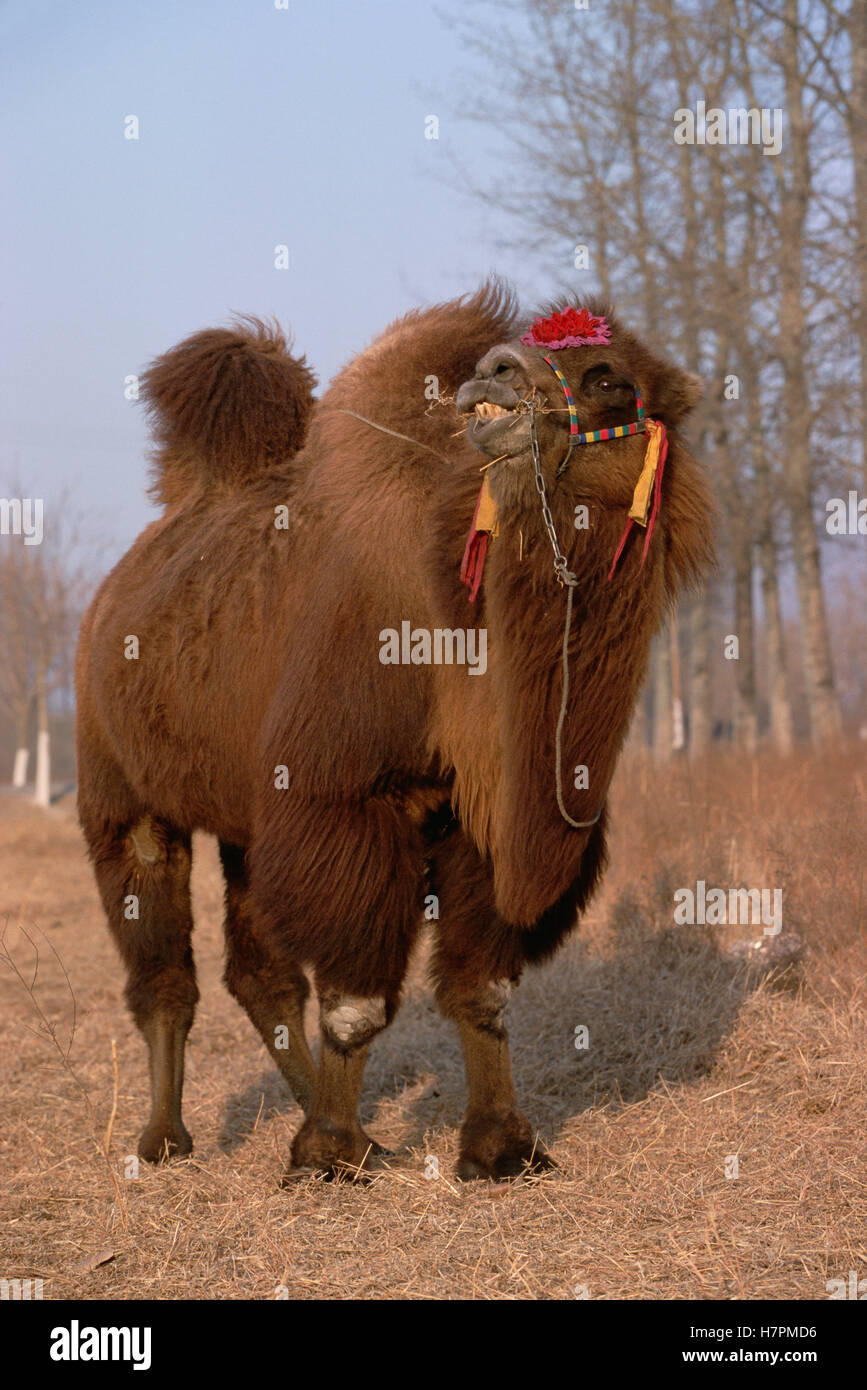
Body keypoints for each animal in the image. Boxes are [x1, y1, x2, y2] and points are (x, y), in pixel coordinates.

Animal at [75, 285, 713, 1180]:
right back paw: (167, 1139)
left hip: (246, 816)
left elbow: (481, 990)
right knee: (164, 969)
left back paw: (339, 1122)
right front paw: (326, 1154)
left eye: (609, 379)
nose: (497, 373)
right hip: (123, 793)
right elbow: (358, 1001)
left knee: (259, 973)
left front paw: (502, 1147)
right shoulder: (345, 799)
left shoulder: (470, 817)